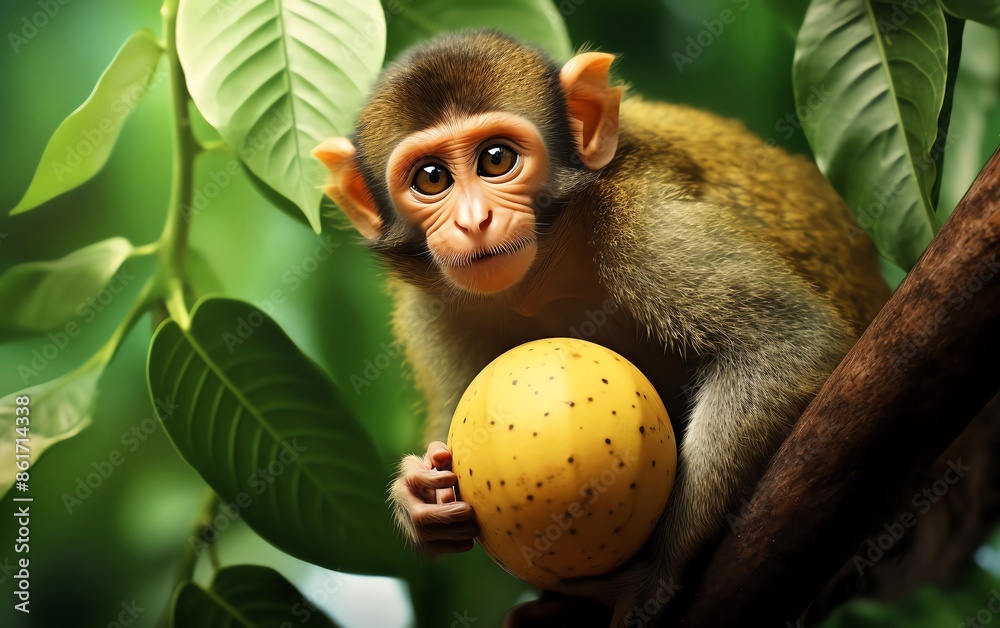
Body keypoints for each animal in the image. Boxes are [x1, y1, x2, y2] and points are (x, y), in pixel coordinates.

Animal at [312, 30, 890, 625]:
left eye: (496, 159)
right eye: (431, 178)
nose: (473, 222)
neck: (544, 277)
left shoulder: (639, 218)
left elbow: (786, 341)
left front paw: (658, 571)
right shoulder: (429, 307)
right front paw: (419, 495)